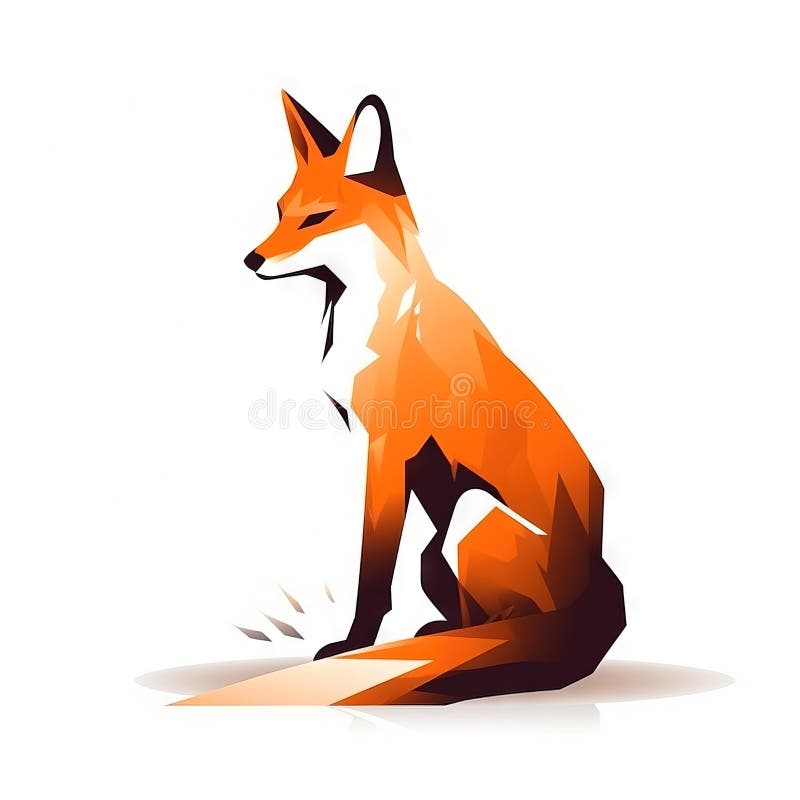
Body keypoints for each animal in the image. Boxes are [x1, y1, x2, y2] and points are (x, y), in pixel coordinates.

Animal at [178, 92, 625, 706]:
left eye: (317, 217)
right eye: (280, 211)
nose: (251, 259)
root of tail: (601, 581)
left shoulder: (389, 446)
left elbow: (372, 569)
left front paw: (354, 642)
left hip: (467, 515)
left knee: (520, 627)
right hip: (435, 551)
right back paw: (444, 635)